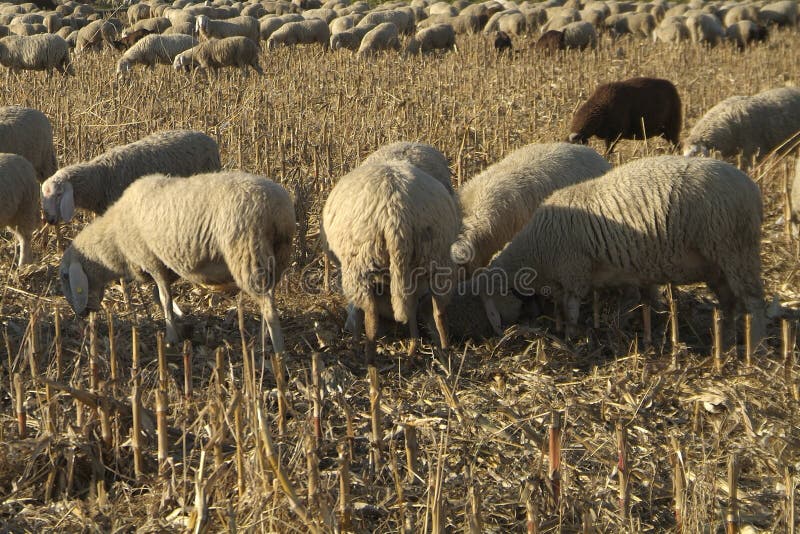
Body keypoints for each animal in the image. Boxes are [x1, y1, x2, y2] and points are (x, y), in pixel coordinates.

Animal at [59, 171, 295, 349]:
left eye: (64, 277)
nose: (81, 314)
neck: (115, 238)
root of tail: (278, 209)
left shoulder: (153, 262)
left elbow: (164, 299)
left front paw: (171, 336)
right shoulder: (166, 264)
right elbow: (159, 297)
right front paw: (182, 324)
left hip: (247, 253)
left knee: (268, 307)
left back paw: (276, 351)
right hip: (277, 256)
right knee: (268, 299)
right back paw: (264, 341)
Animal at [321, 160, 459, 358]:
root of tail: (396, 213)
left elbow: (356, 311)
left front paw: (354, 339)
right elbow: (412, 306)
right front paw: (413, 342)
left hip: (359, 264)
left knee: (371, 314)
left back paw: (368, 357)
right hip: (438, 258)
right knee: (439, 310)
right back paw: (443, 350)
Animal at [482, 156, 767, 345]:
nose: (498, 334)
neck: (536, 248)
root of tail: (752, 188)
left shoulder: (575, 270)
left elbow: (572, 308)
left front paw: (572, 336)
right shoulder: (576, 275)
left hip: (736, 251)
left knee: (754, 303)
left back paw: (754, 347)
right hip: (717, 265)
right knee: (729, 302)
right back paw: (727, 338)